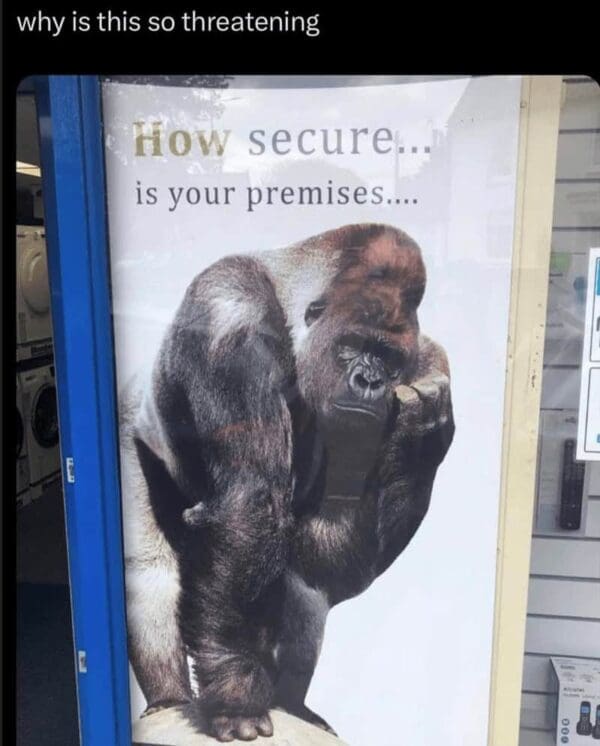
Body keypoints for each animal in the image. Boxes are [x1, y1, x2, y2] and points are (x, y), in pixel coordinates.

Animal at [118, 223, 455, 742]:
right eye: (354, 344)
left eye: (388, 357)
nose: (370, 381)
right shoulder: (230, 314)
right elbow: (250, 500)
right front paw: (235, 689)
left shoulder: (430, 363)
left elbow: (328, 559)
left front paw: (420, 438)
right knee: (149, 567)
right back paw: (170, 700)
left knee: (303, 581)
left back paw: (292, 704)